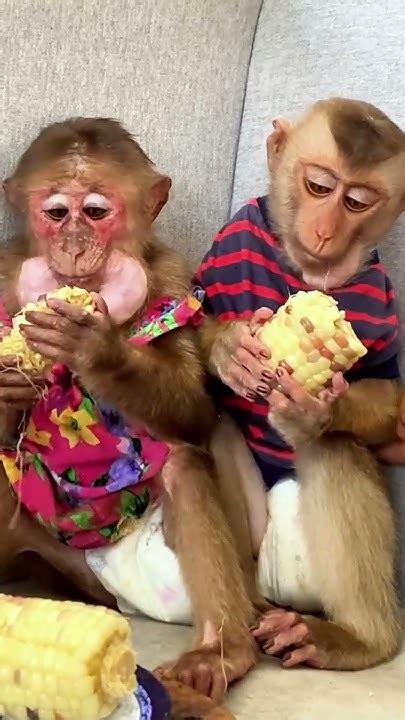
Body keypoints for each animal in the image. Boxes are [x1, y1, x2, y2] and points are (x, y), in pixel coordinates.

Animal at [0, 117, 257, 707]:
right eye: (56, 213)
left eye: (95, 212)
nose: (74, 246)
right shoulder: (1, 276)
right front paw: (8, 384)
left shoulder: (172, 278)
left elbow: (193, 411)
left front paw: (98, 350)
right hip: (57, 560)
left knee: (184, 465)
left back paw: (222, 648)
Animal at [195, 97, 405, 672]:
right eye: (318, 186)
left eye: (357, 202)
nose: (326, 231)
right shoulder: (233, 234)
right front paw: (230, 350)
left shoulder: (381, 298)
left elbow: (383, 395)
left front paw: (315, 412)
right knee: (213, 426)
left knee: (335, 450)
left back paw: (356, 638)